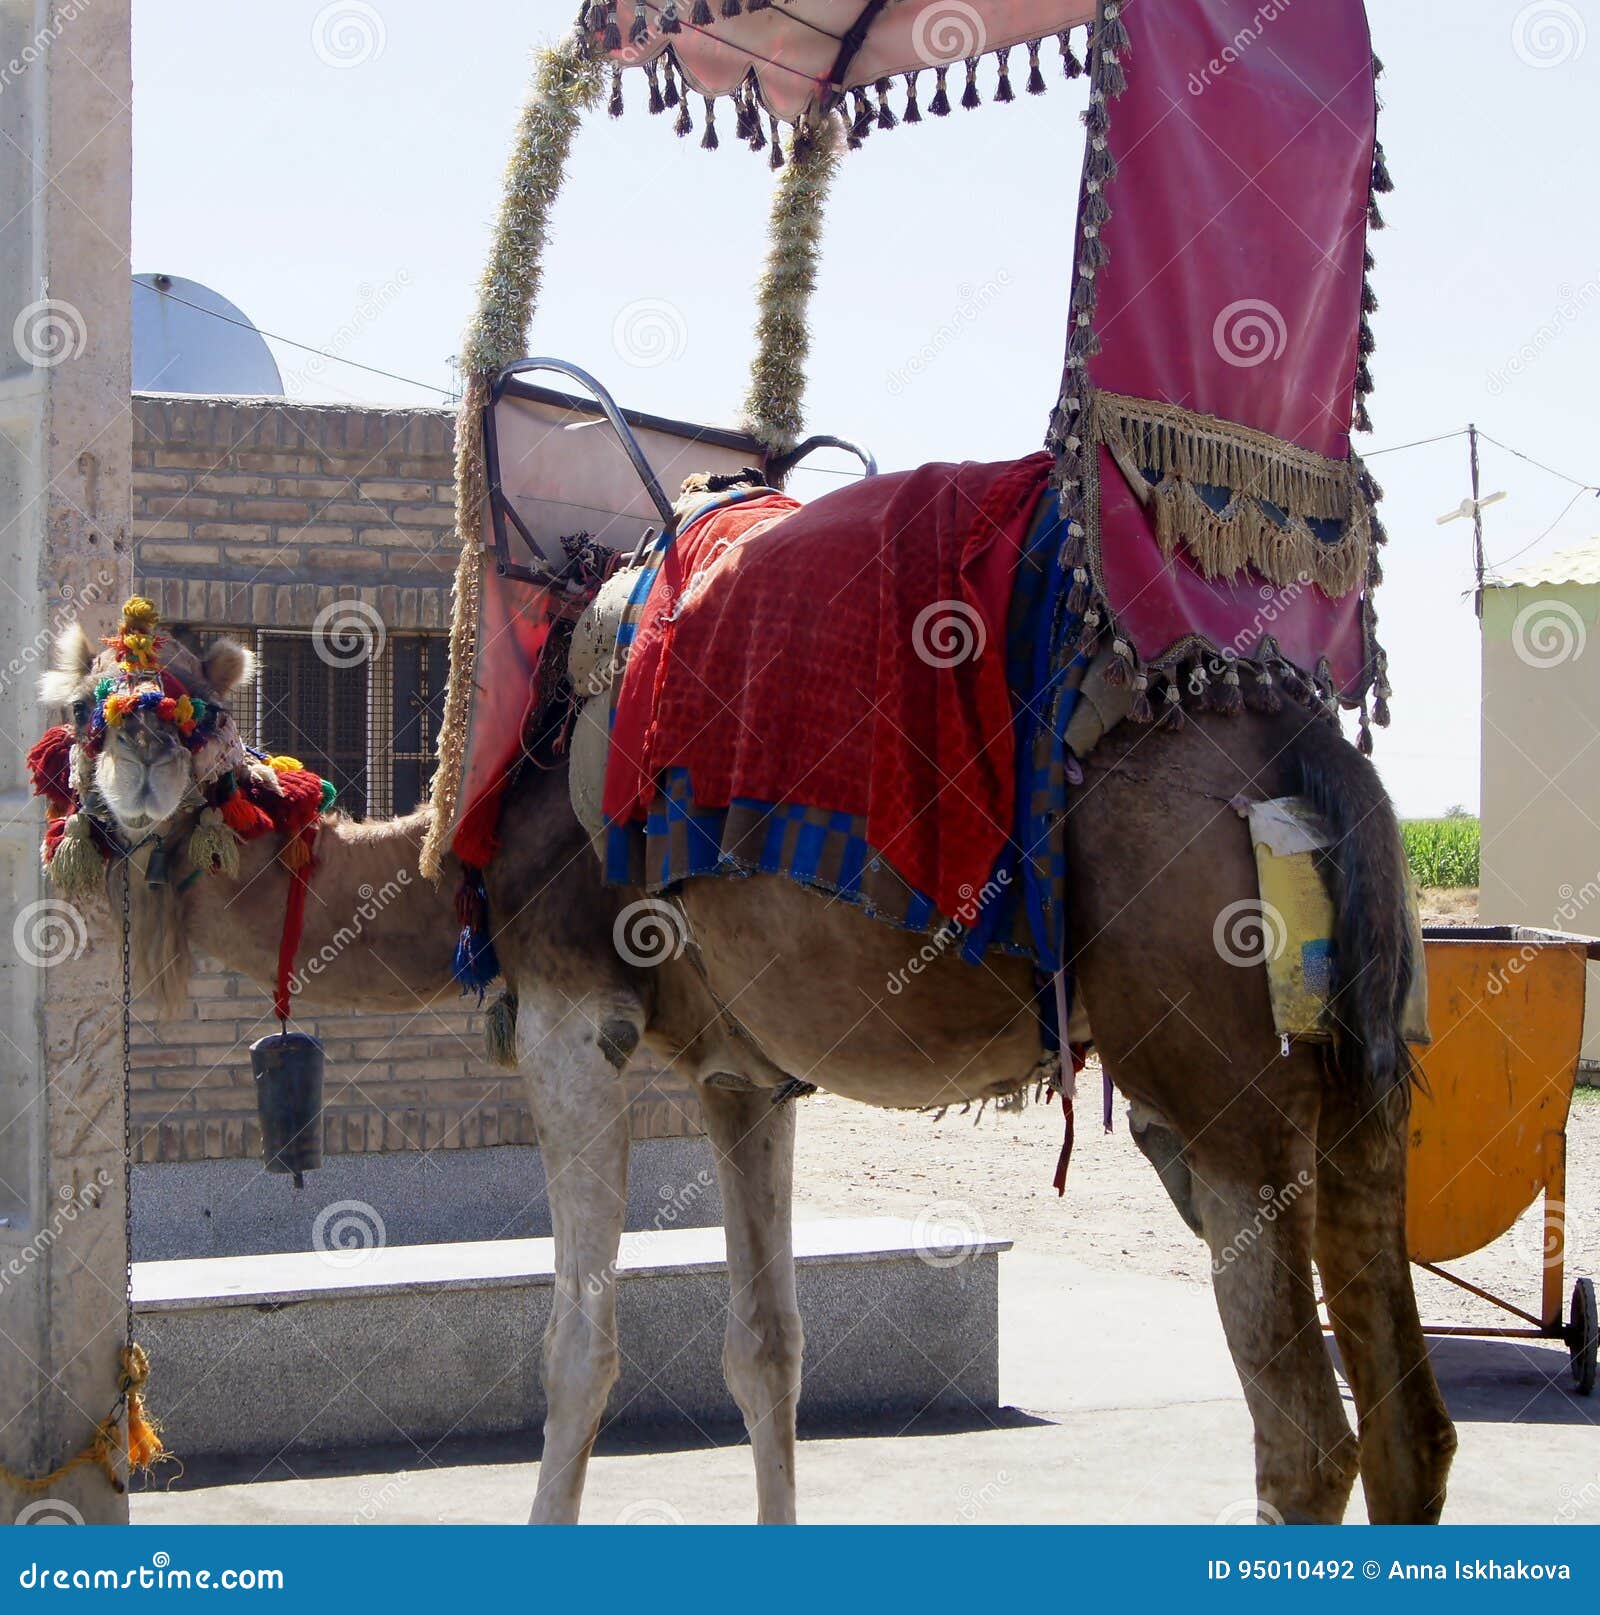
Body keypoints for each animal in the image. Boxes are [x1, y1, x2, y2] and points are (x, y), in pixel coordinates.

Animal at [37, 613, 1456, 1526]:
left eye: (189, 704)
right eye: (87, 711)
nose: (144, 753)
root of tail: (1310, 754)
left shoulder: (571, 1018)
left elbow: (580, 1349)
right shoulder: (742, 1078)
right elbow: (766, 1351)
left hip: (1211, 1072)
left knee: (1302, 1441)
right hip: (1357, 1070)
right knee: (1408, 1429)